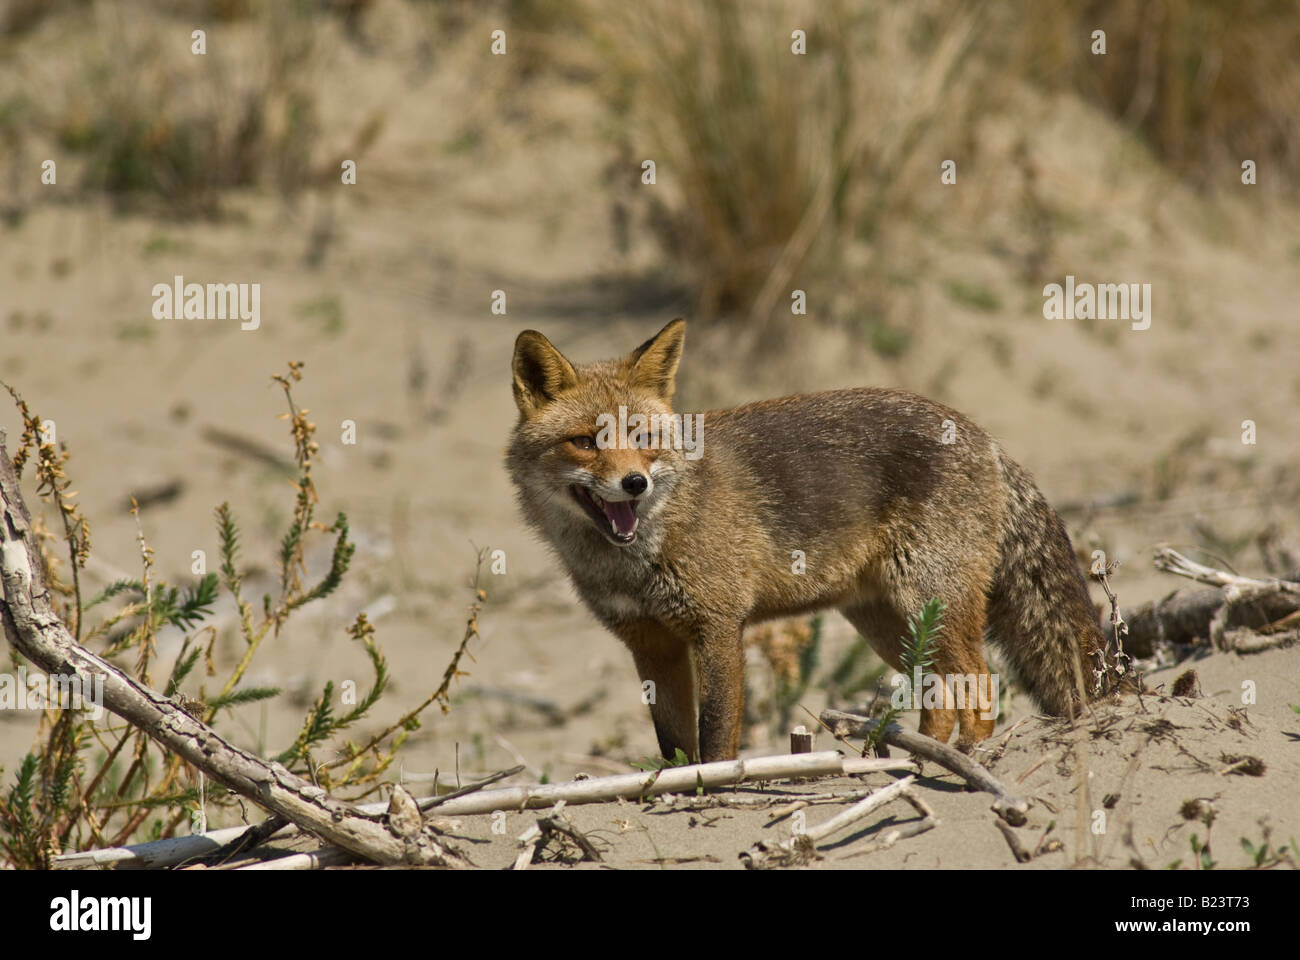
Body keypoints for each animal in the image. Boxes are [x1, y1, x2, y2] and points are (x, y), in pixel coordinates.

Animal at [506, 318, 1118, 762]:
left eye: (644, 438)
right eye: (586, 442)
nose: (636, 483)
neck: (640, 552)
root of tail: (984, 435)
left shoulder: (718, 627)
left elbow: (716, 735)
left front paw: (715, 791)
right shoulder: (651, 644)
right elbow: (674, 745)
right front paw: (674, 790)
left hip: (930, 601)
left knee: (980, 683)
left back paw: (968, 755)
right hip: (891, 624)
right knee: (940, 694)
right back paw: (914, 758)